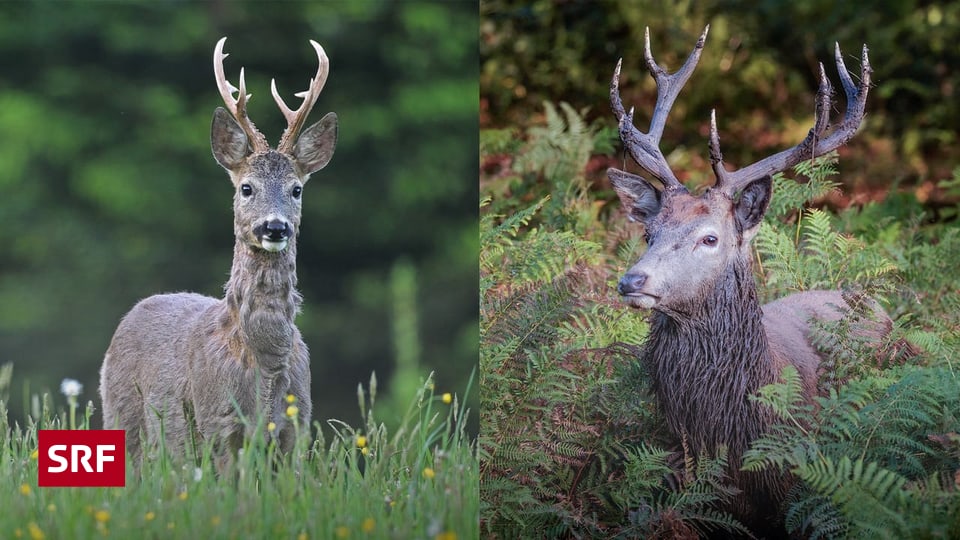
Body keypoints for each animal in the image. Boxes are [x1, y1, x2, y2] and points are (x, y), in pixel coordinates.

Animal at [99, 37, 337, 468]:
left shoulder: (298, 426)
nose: (274, 227)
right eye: (246, 187)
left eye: (296, 188)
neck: (264, 365)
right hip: (123, 416)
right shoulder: (217, 423)